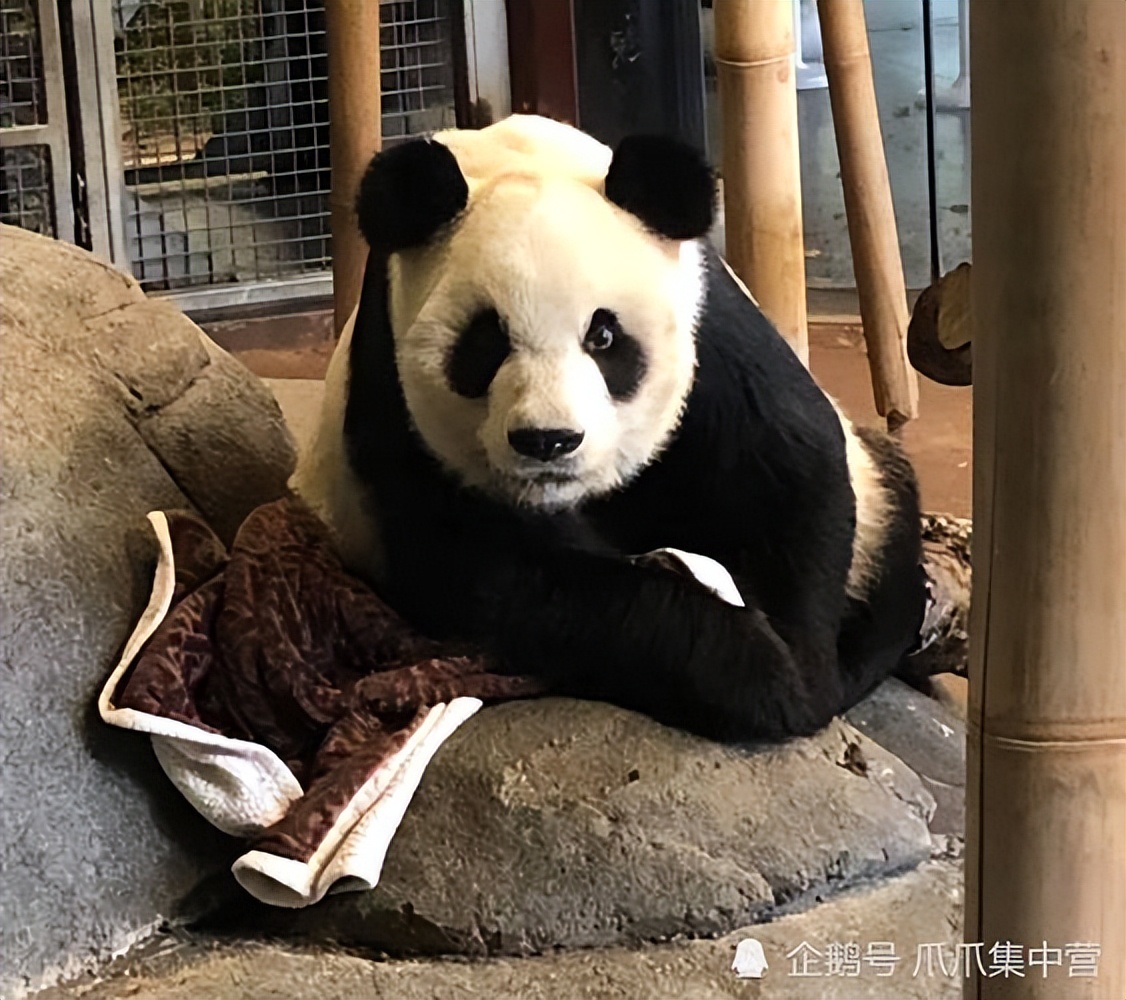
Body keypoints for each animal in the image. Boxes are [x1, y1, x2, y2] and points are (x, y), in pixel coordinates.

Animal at [294, 115, 928, 743]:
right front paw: (757, 669)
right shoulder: (391, 391)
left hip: (875, 492)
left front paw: (805, 667)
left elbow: (788, 466)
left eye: (603, 337)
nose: (547, 440)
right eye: (486, 343)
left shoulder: (711, 329)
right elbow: (487, 565)